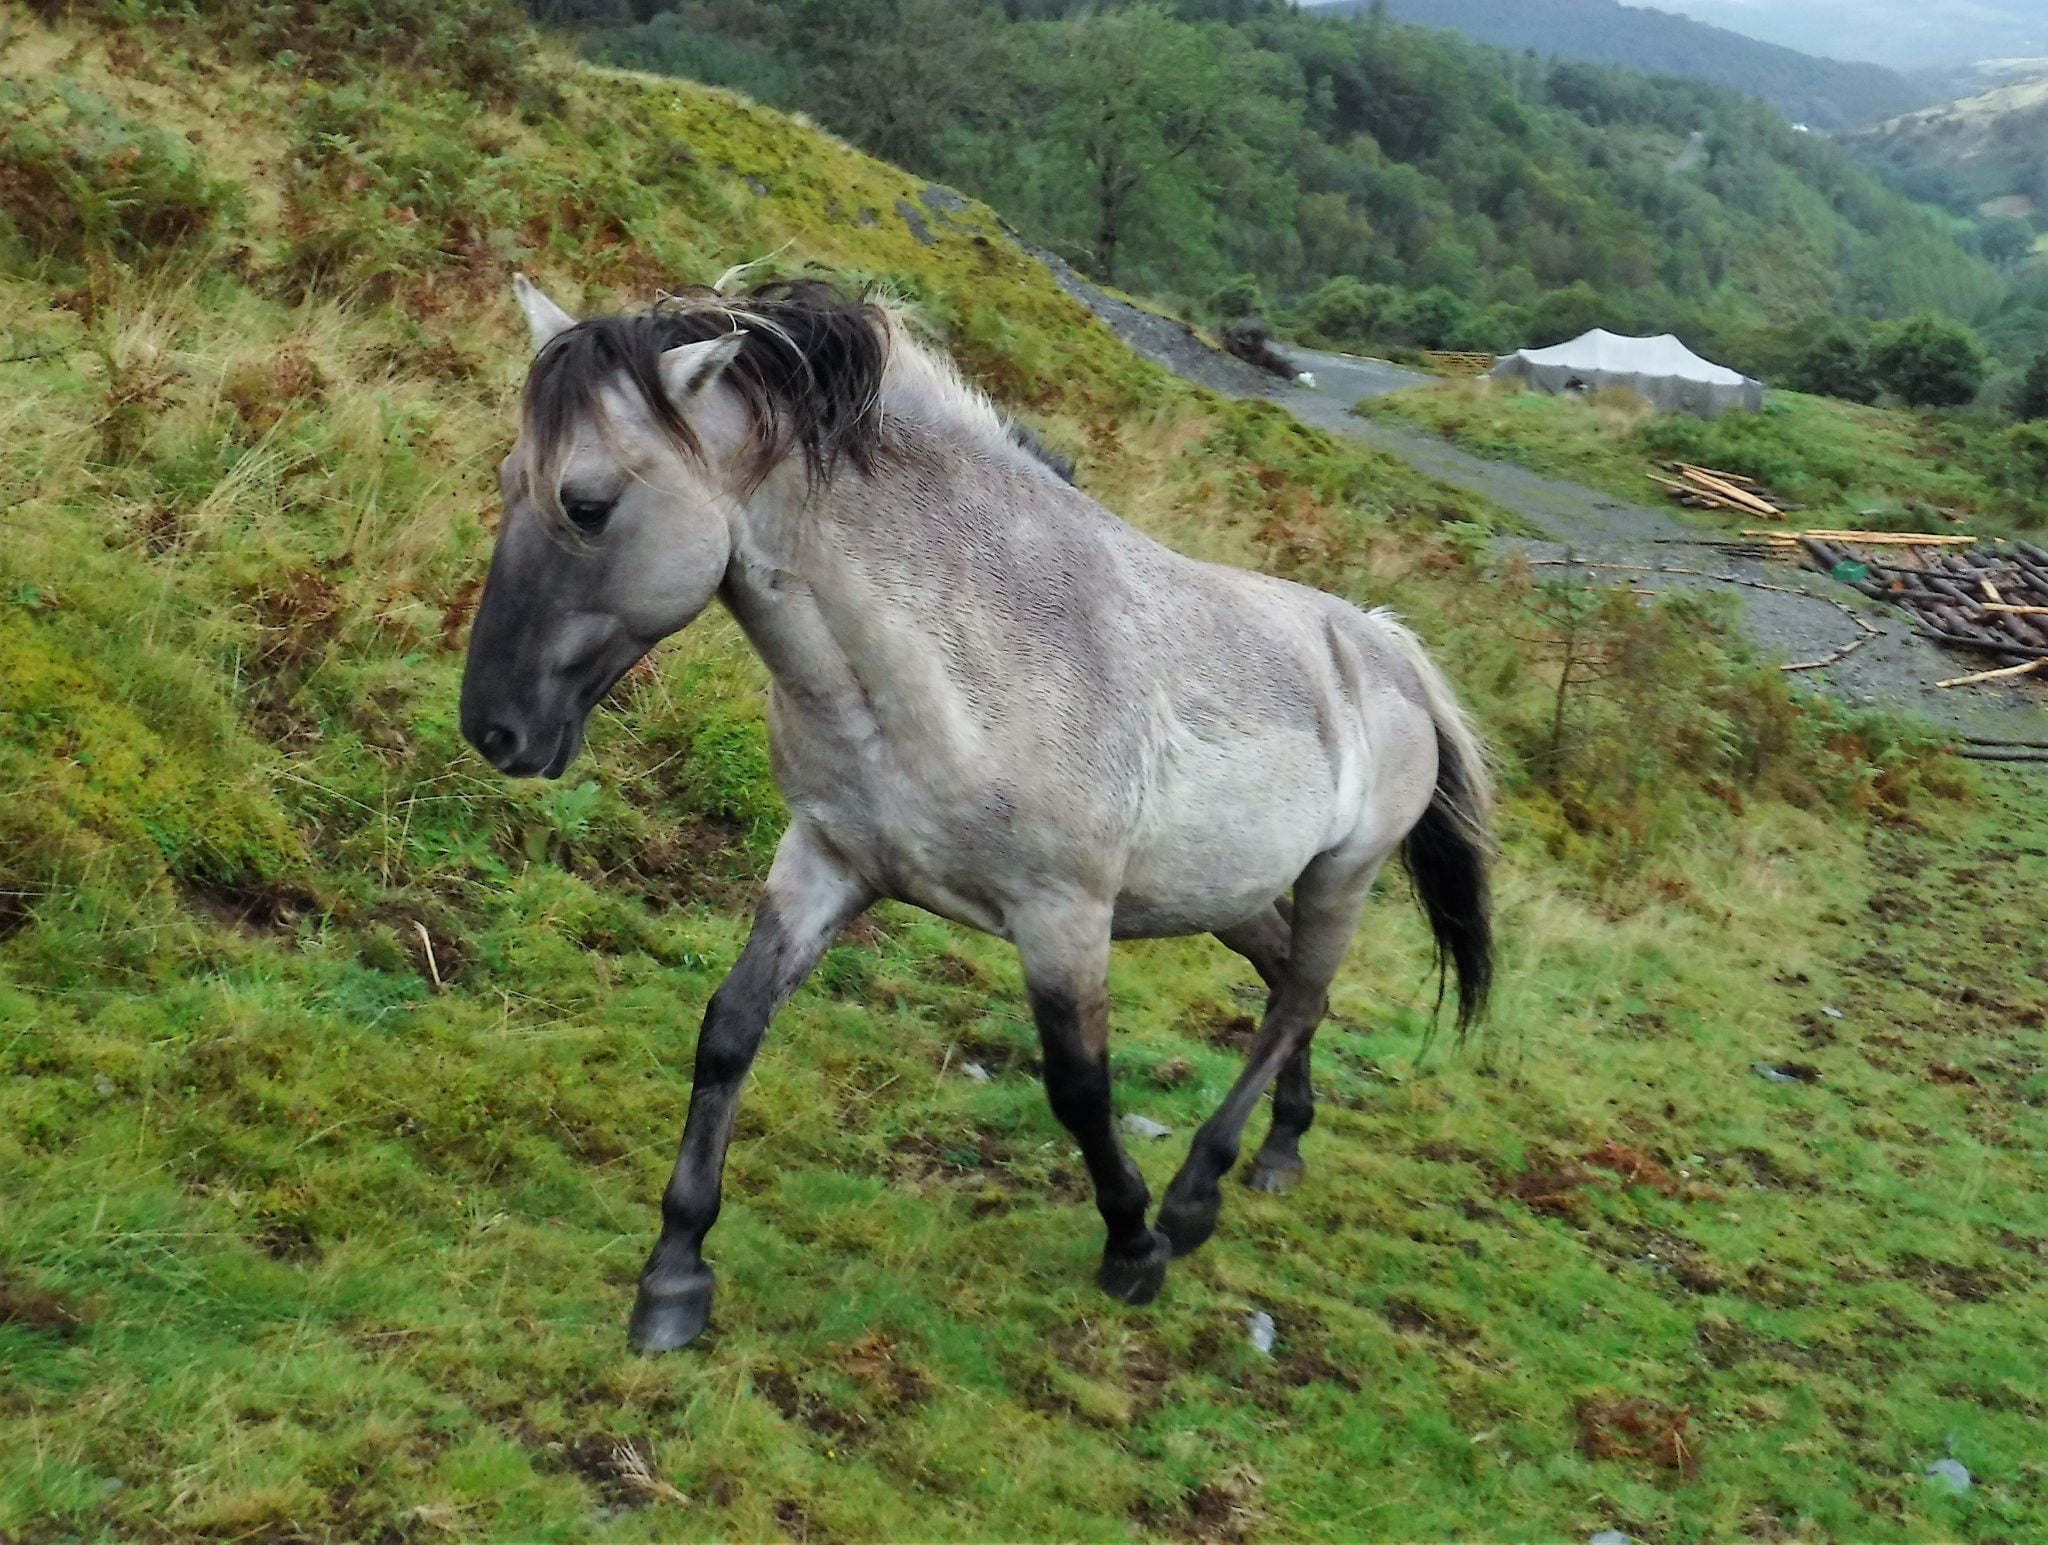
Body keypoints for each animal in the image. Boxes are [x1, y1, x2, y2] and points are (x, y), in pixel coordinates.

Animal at [460, 273, 1494, 1353]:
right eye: (507, 477)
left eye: (587, 504)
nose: (493, 728)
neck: (962, 656)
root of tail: (1381, 644)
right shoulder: (824, 858)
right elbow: (730, 1029)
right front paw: (673, 1277)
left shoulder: (1062, 915)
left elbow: (1080, 1087)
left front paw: (1132, 1245)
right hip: (1230, 891)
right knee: (1293, 984)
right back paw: (1281, 1146)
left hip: (1344, 873)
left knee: (1294, 1000)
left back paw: (1195, 1196)